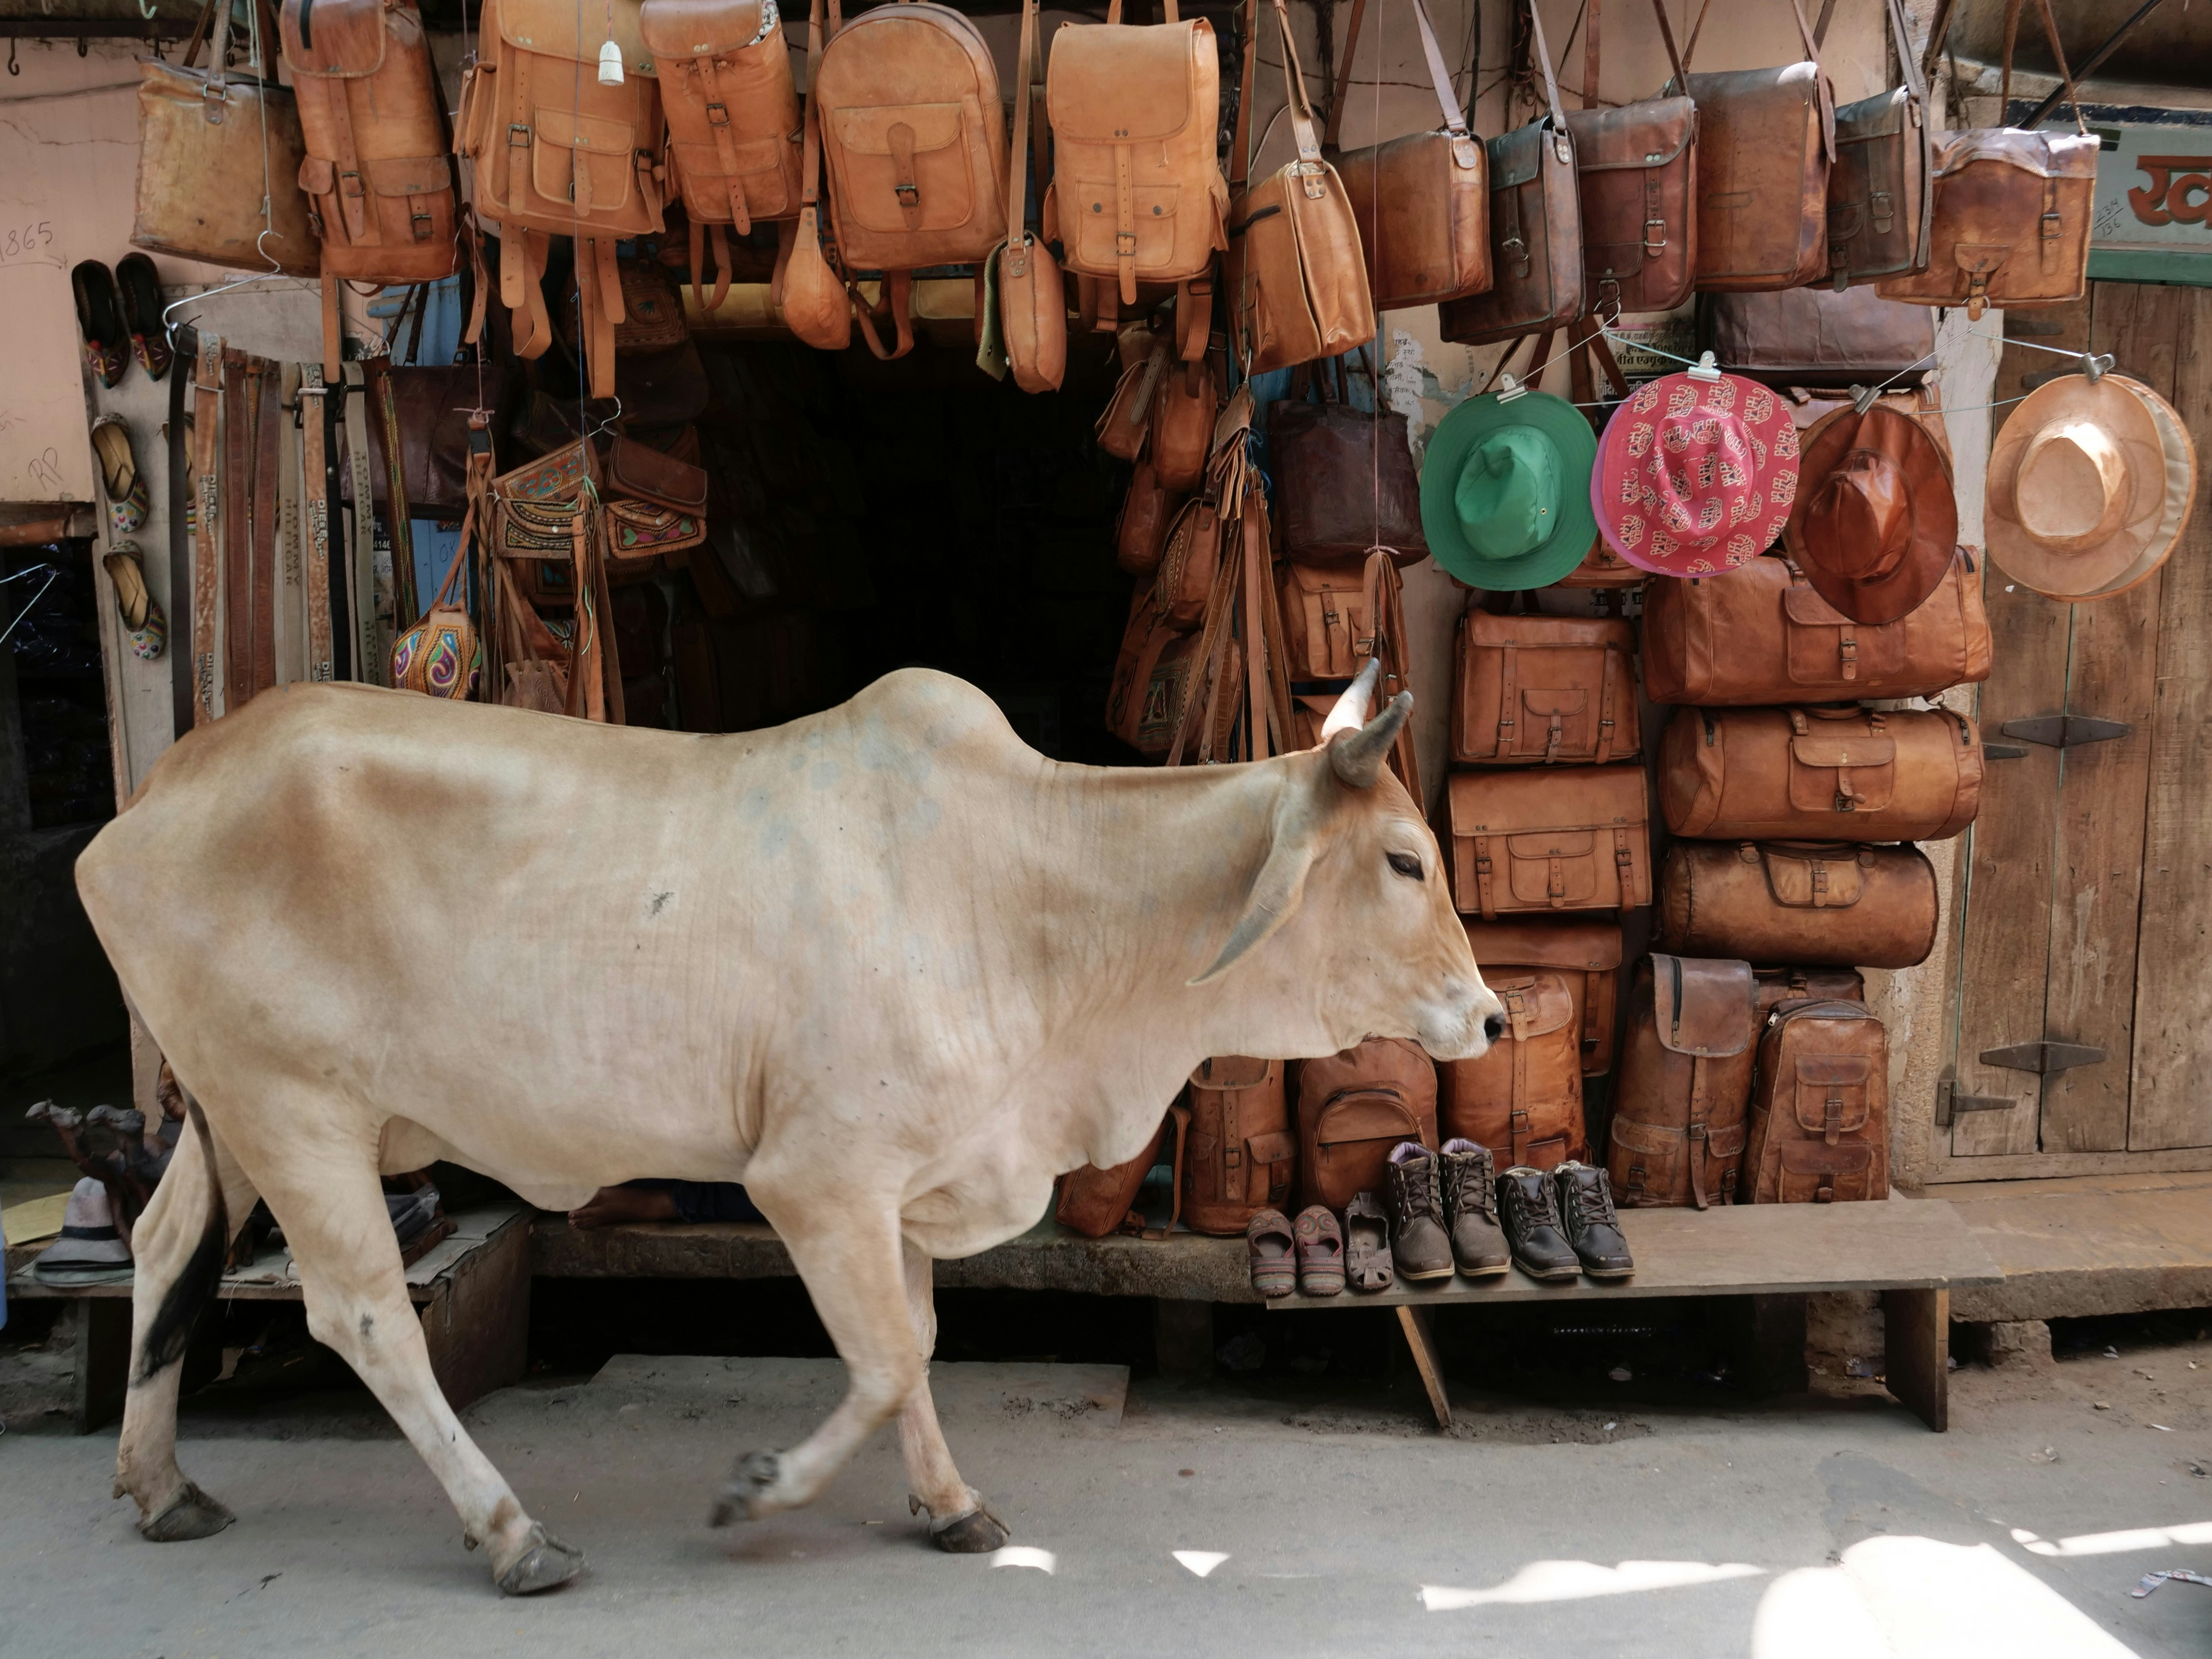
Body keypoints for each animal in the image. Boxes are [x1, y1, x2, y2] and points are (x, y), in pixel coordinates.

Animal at [75, 660, 1501, 1595]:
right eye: (1405, 861)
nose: (1490, 1015)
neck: (1033, 898)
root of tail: (166, 778)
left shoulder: (905, 1187)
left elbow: (917, 1347)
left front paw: (950, 1505)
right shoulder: (816, 1179)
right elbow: (881, 1358)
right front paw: (763, 1489)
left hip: (234, 1114)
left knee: (164, 1248)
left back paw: (161, 1485)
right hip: (298, 1107)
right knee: (366, 1315)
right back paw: (512, 1532)